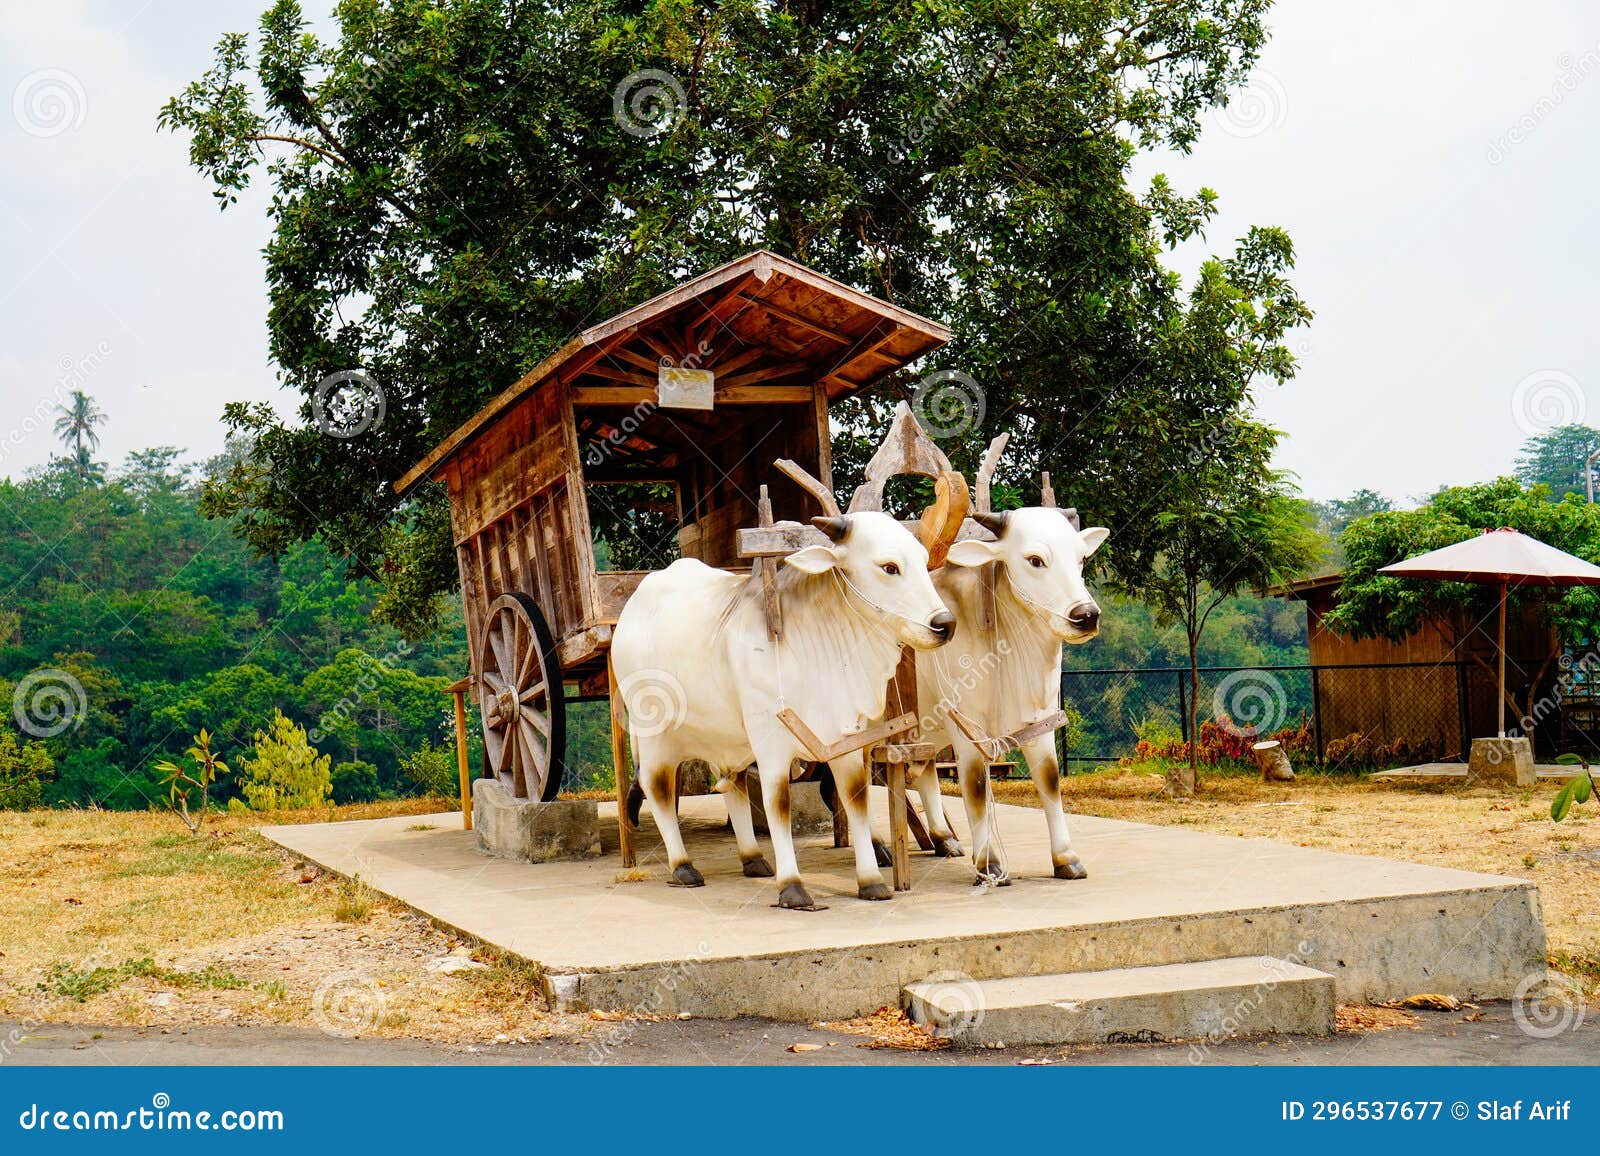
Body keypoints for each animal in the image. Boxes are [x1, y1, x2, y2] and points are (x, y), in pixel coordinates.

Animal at [609, 510, 956, 910]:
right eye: (889, 567)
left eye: (922, 560)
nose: (944, 624)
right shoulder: (771, 743)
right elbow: (777, 803)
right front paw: (792, 885)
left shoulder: (847, 739)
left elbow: (855, 798)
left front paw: (871, 881)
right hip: (655, 736)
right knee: (658, 789)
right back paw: (683, 866)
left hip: (722, 736)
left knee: (733, 785)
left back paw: (753, 858)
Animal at [910, 507, 1108, 884]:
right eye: (1035, 560)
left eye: (1081, 559)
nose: (1086, 615)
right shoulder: (965, 726)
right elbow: (974, 787)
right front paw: (989, 863)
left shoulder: (1040, 720)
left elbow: (1049, 779)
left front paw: (1066, 858)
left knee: (922, 769)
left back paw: (944, 839)